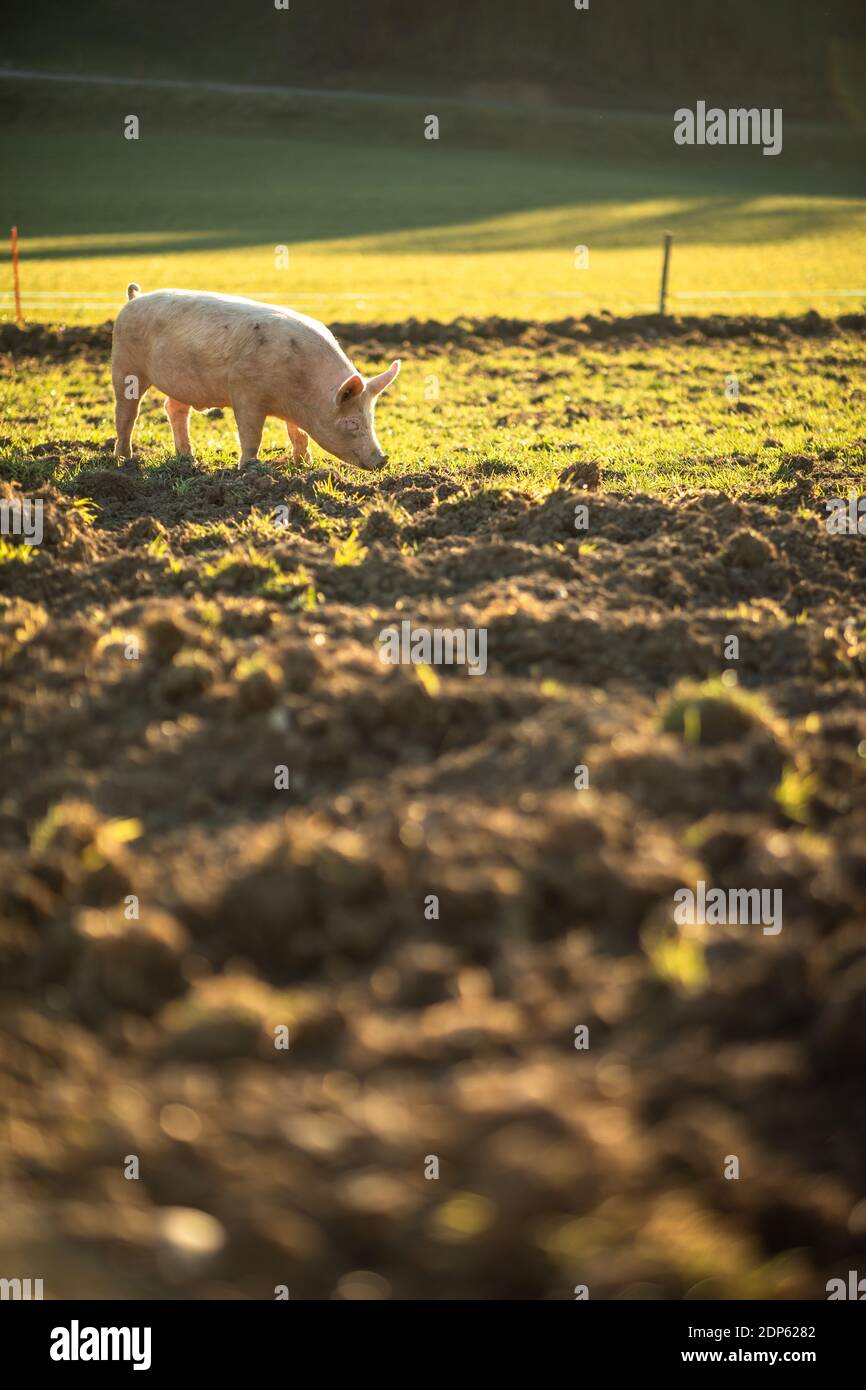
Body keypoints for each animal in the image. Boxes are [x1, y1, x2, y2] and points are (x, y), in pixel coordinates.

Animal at [111, 285, 400, 469]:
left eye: (372, 419)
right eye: (352, 423)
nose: (383, 460)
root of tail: (134, 298)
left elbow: (299, 434)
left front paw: (304, 464)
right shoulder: (245, 392)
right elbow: (252, 435)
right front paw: (249, 468)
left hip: (181, 382)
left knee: (174, 407)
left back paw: (187, 459)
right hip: (125, 365)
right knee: (127, 413)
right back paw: (125, 460)